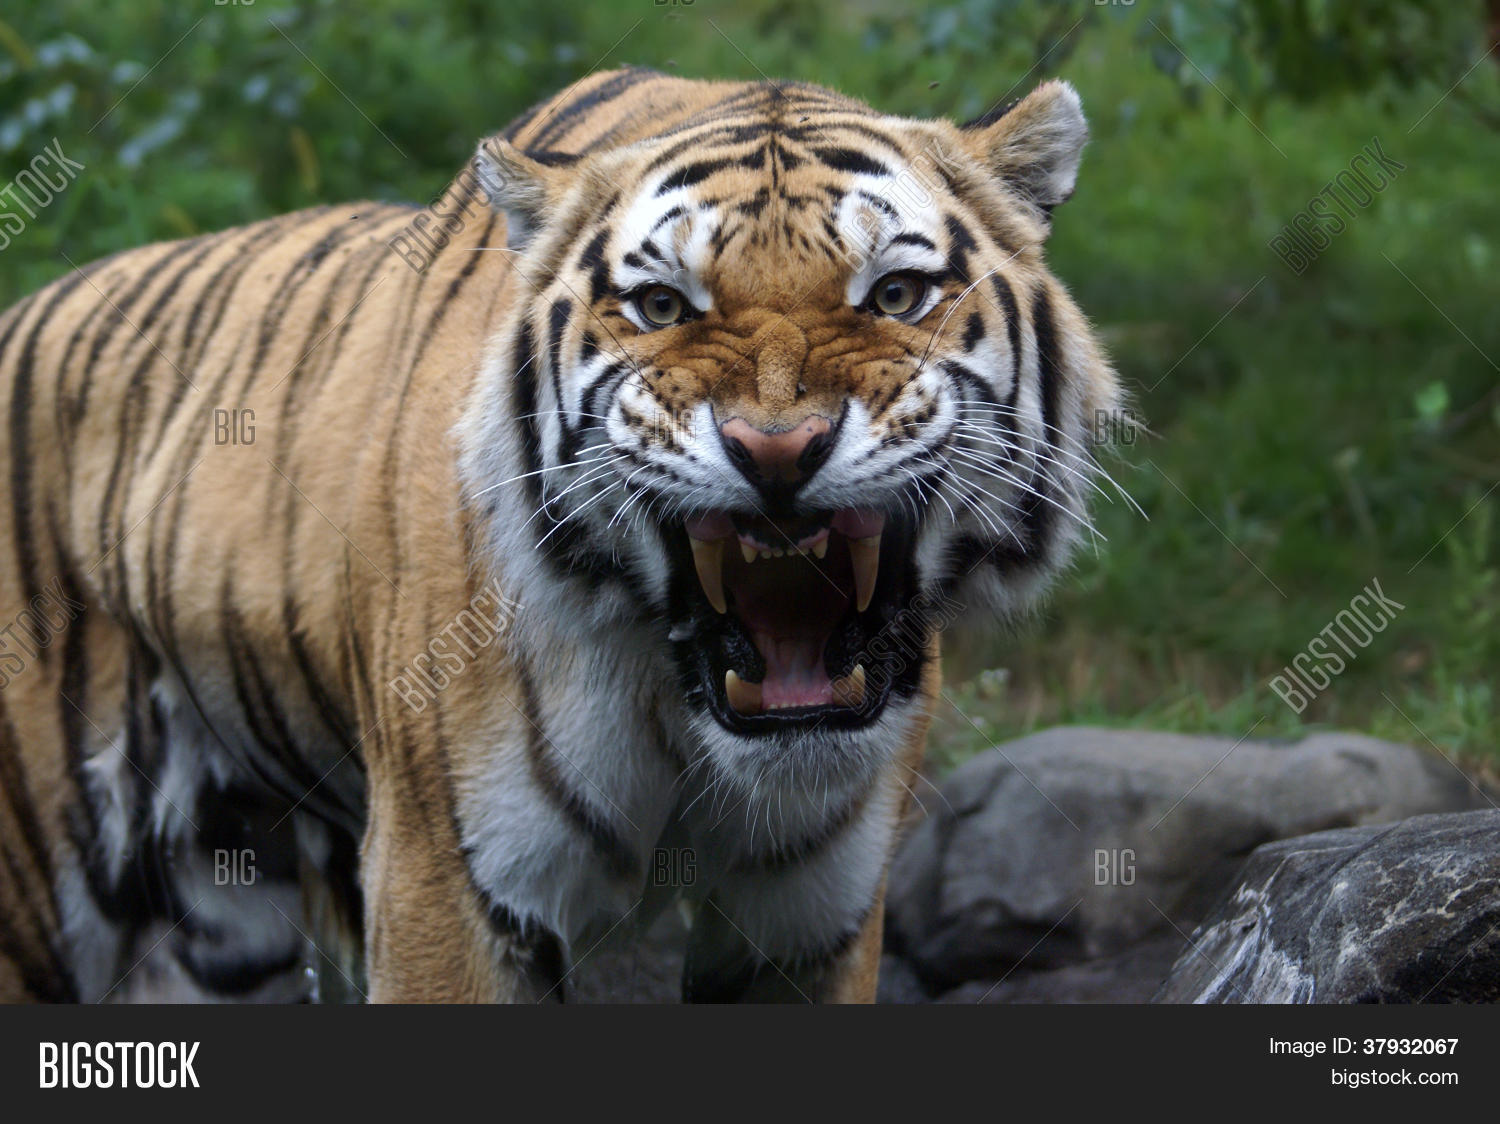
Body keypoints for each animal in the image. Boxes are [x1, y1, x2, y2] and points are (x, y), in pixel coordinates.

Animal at [0, 67, 1120, 1003]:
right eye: (662, 305)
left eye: (894, 293)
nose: (777, 449)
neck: (680, 702)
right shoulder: (444, 883)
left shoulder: (810, 917)